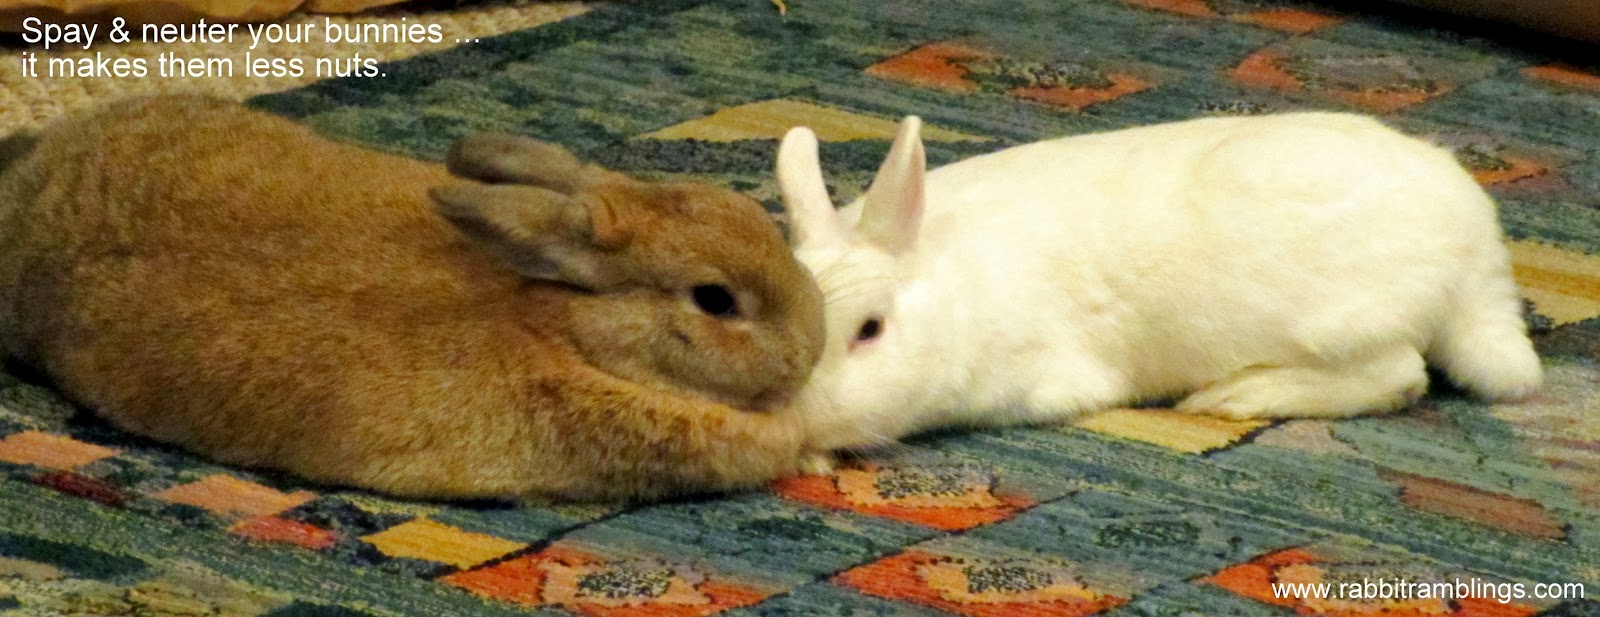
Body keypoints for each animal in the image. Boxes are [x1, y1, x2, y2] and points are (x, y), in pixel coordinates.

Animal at [775, 113, 1543, 451]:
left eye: (871, 331)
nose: (799, 416)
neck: (952, 281)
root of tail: (1476, 245)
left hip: (1335, 322)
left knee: (1400, 373)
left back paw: (1237, 396)